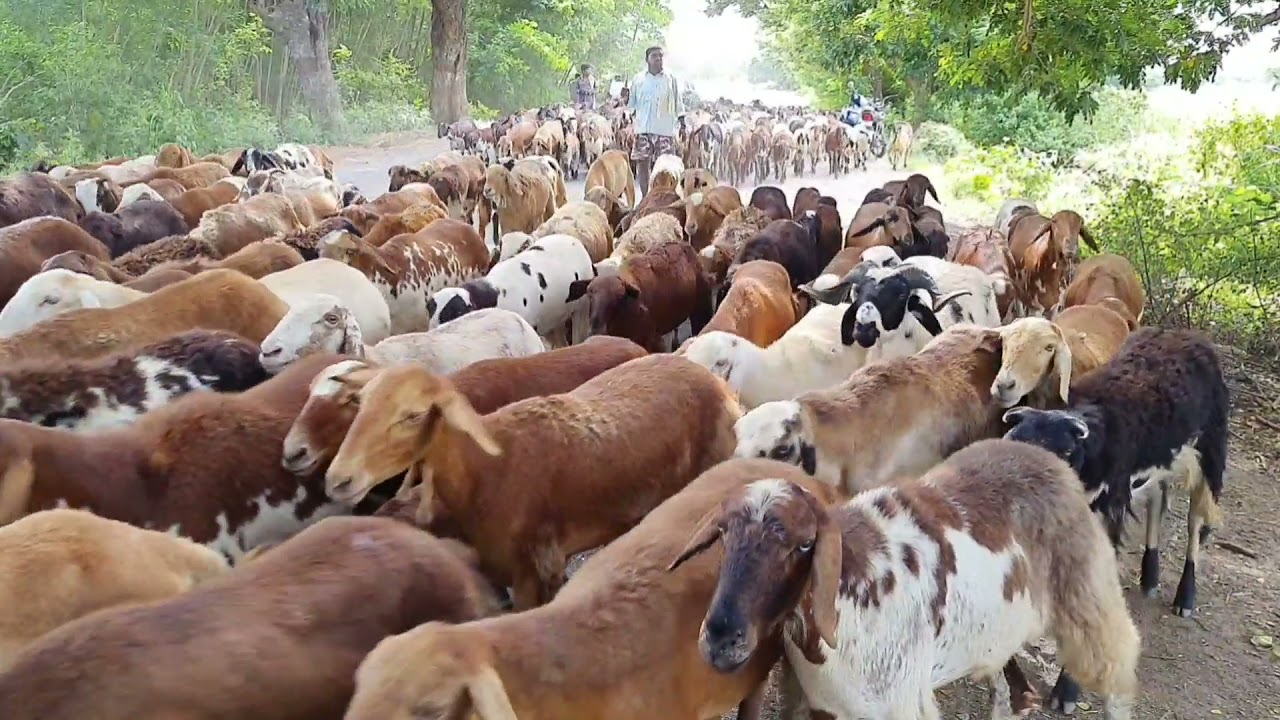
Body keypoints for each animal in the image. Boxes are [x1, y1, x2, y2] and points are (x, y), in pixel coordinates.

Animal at [324, 353, 741, 609]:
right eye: (360, 404)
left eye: (412, 415)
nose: (338, 479)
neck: (488, 469)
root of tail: (722, 387)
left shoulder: (533, 570)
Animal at [426, 233, 594, 344]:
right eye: (430, 309)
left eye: (457, 312)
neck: (496, 295)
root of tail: (572, 239)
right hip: (556, 317)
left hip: (581, 310)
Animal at [676, 438, 1140, 720]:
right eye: (723, 534)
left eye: (804, 545)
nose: (721, 637)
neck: (850, 593)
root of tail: (1045, 456)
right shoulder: (817, 701)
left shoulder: (897, 705)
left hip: (1090, 602)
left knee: (1118, 672)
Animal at [1003, 327, 1228, 621]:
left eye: (1066, 451)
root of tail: (1186, 335)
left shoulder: (1111, 501)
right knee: (1157, 500)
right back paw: (1150, 578)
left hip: (1210, 452)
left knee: (1195, 522)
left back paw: (1185, 598)